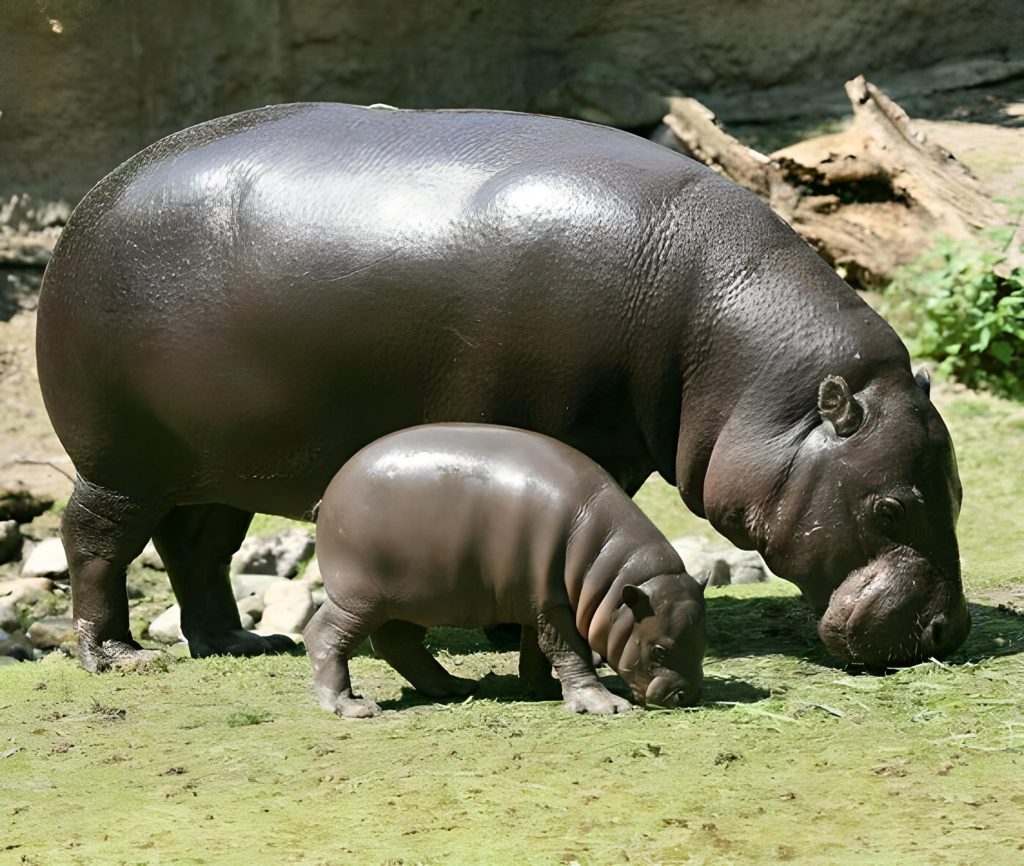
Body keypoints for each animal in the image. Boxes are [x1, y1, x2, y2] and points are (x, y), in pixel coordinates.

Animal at [36, 102, 969, 672]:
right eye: (890, 506)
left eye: (955, 491)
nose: (946, 631)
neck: (744, 368)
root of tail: (87, 205)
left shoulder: (612, 446)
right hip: (121, 460)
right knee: (97, 544)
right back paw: (117, 657)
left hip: (219, 465)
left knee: (197, 549)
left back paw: (237, 643)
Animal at [307, 423, 706, 717]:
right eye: (659, 650)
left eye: (701, 641)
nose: (686, 696)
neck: (610, 573)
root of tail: (326, 495)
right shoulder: (554, 604)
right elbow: (570, 651)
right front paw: (605, 705)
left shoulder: (540, 599)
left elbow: (538, 650)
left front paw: (542, 688)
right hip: (359, 597)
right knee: (324, 636)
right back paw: (353, 707)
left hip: (413, 599)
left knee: (397, 643)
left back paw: (455, 686)